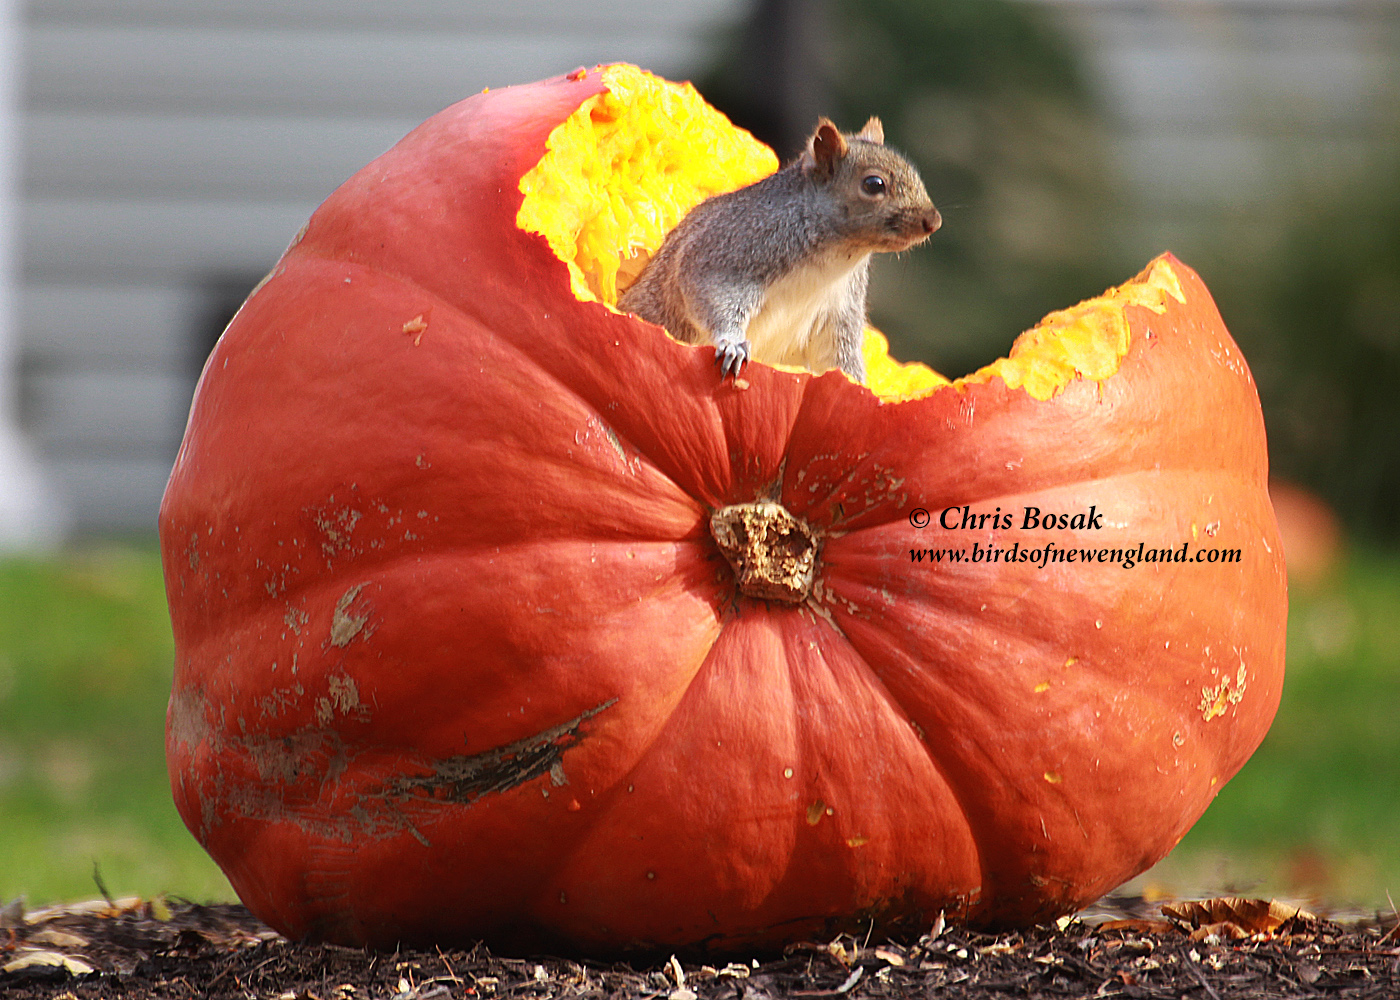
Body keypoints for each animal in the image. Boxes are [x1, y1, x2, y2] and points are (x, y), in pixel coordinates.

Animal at [618, 116, 940, 383]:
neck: (834, 259)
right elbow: (713, 296)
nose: (933, 221)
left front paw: (861, 388)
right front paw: (732, 343)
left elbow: (837, 356)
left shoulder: (839, 309)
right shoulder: (729, 252)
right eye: (874, 184)